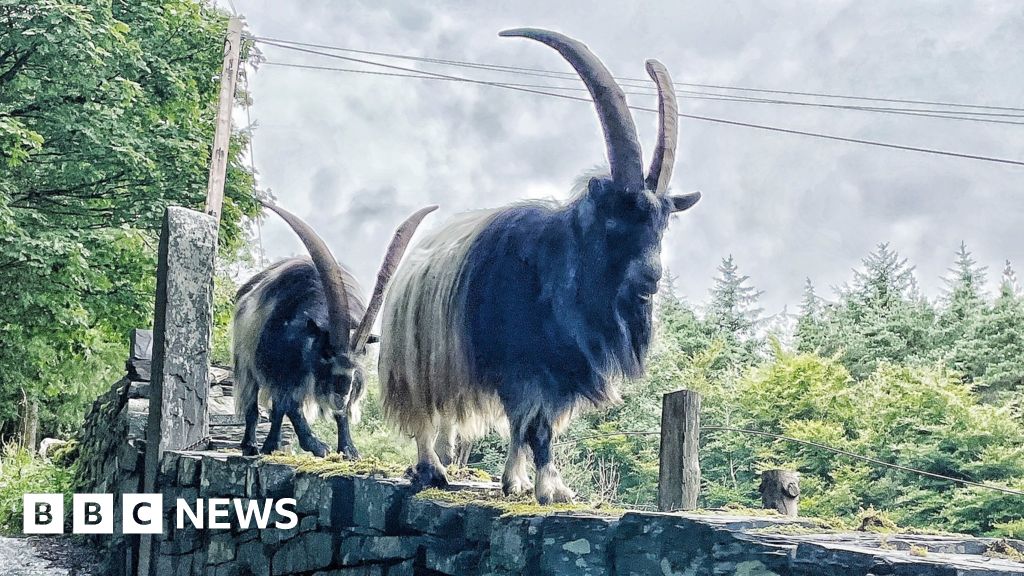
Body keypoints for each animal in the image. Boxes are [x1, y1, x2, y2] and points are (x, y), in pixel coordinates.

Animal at [233, 202, 436, 457]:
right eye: (325, 353)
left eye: (361, 354)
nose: (340, 393)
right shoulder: (282, 371)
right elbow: (290, 405)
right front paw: (317, 446)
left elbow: (336, 413)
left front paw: (349, 450)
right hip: (245, 362)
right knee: (255, 404)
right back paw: (252, 445)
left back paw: (271, 445)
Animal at [378, 28, 701, 503]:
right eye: (613, 219)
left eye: (661, 224)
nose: (651, 278)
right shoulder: (521, 367)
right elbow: (534, 427)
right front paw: (541, 487)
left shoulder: (559, 372)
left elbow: (534, 426)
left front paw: (533, 484)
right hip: (415, 361)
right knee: (425, 415)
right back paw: (430, 469)